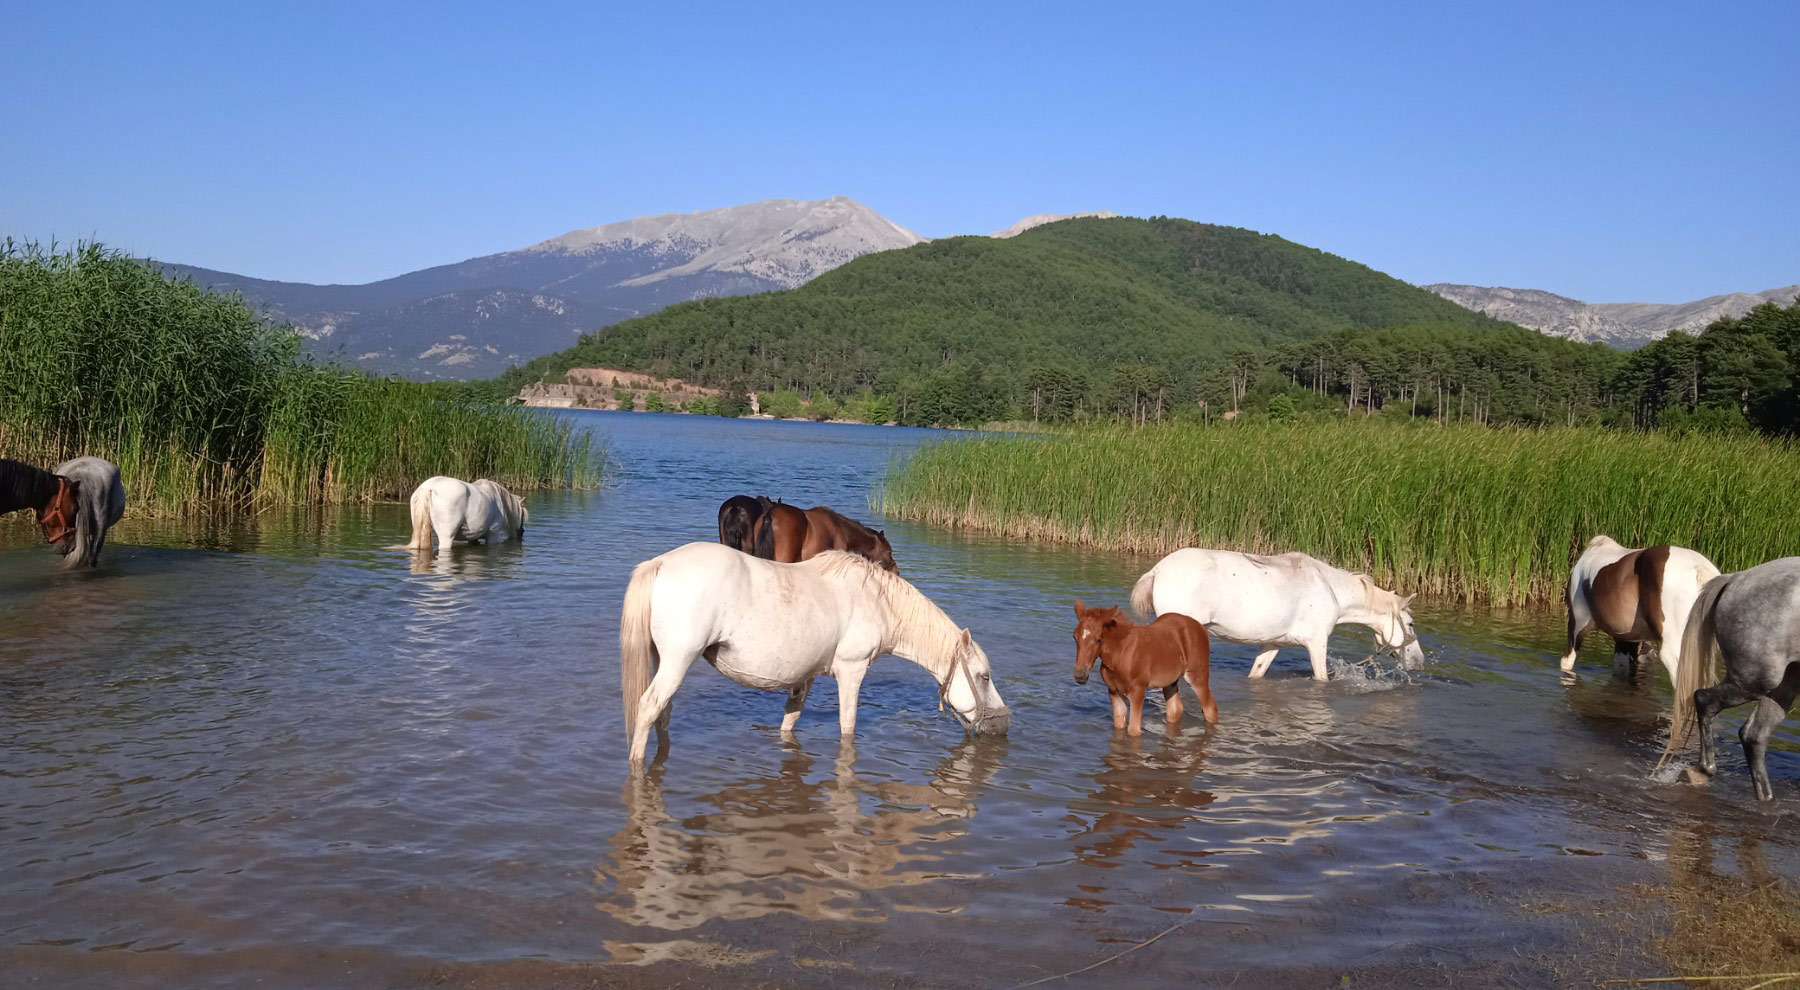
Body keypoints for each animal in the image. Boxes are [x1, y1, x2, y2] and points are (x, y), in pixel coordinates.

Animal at [618, 543, 1009, 766]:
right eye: (984, 676)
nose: (1003, 725)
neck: (877, 600)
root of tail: (660, 564)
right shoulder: (852, 673)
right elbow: (848, 729)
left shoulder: (803, 678)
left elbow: (789, 721)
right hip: (677, 662)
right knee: (649, 707)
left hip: (663, 662)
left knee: (662, 712)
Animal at [1073, 601, 1218, 735]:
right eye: (1075, 637)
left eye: (1099, 640)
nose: (1080, 675)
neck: (1119, 655)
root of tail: (1199, 626)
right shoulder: (1114, 691)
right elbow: (1119, 726)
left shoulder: (1138, 690)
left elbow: (1133, 730)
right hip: (1170, 681)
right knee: (1175, 709)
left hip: (1197, 675)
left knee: (1210, 708)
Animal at [1132, 547, 1423, 680]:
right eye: (1410, 623)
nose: (1419, 661)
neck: (1329, 588)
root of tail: (1158, 569)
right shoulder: (1317, 643)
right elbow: (1321, 679)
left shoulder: (1273, 644)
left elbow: (1257, 673)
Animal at [1665, 557, 1800, 801]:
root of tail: (1734, 578)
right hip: (1757, 681)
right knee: (1705, 699)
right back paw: (1703, 770)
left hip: (1783, 685)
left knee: (1754, 735)